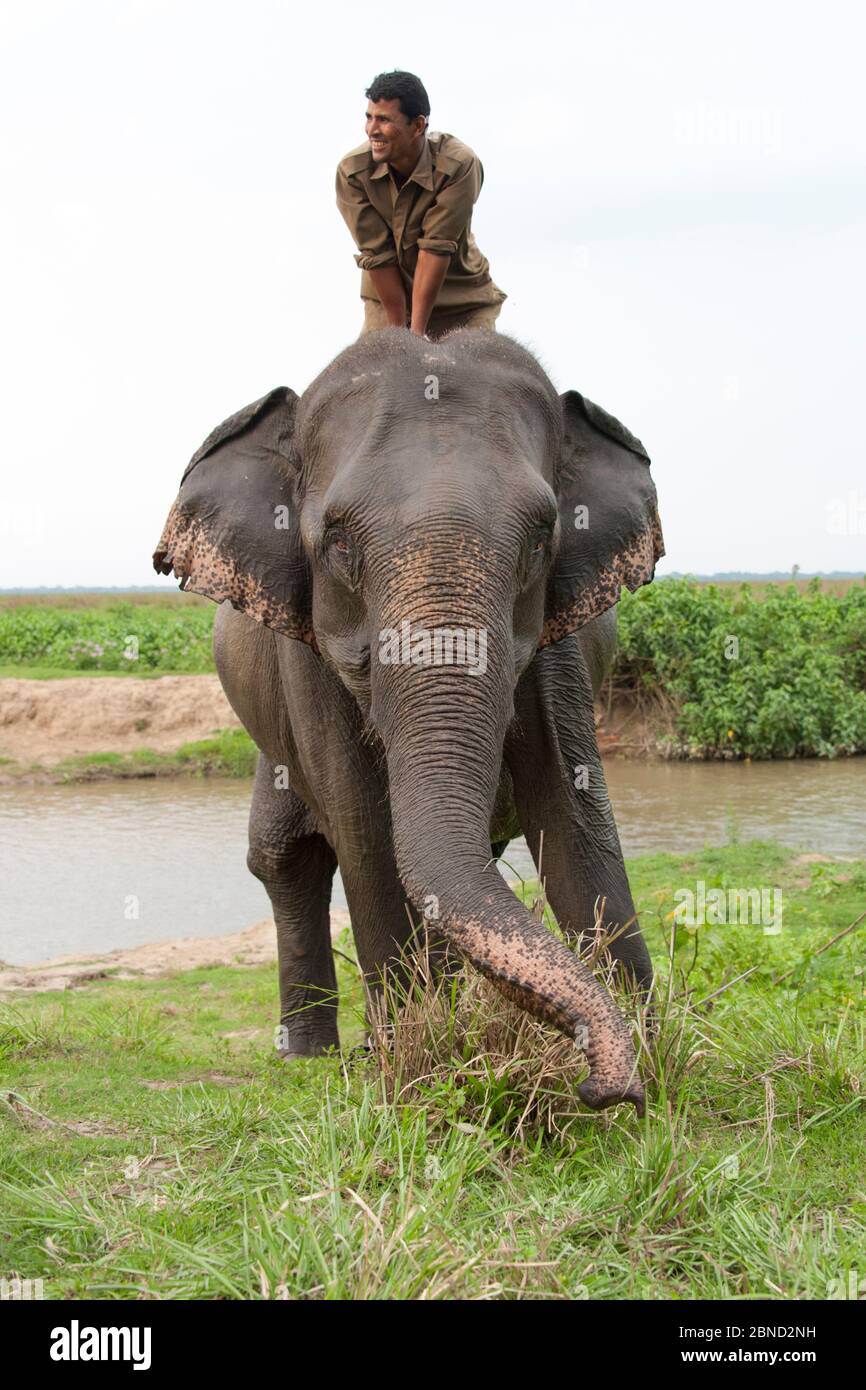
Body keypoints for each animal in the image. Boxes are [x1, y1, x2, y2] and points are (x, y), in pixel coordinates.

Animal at [153, 329, 664, 1115]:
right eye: (338, 544)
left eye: (542, 540)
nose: (596, 1088)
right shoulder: (308, 650)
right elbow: (365, 829)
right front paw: (421, 1075)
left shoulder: (557, 646)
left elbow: (573, 816)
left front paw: (655, 1077)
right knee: (284, 855)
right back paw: (315, 1057)